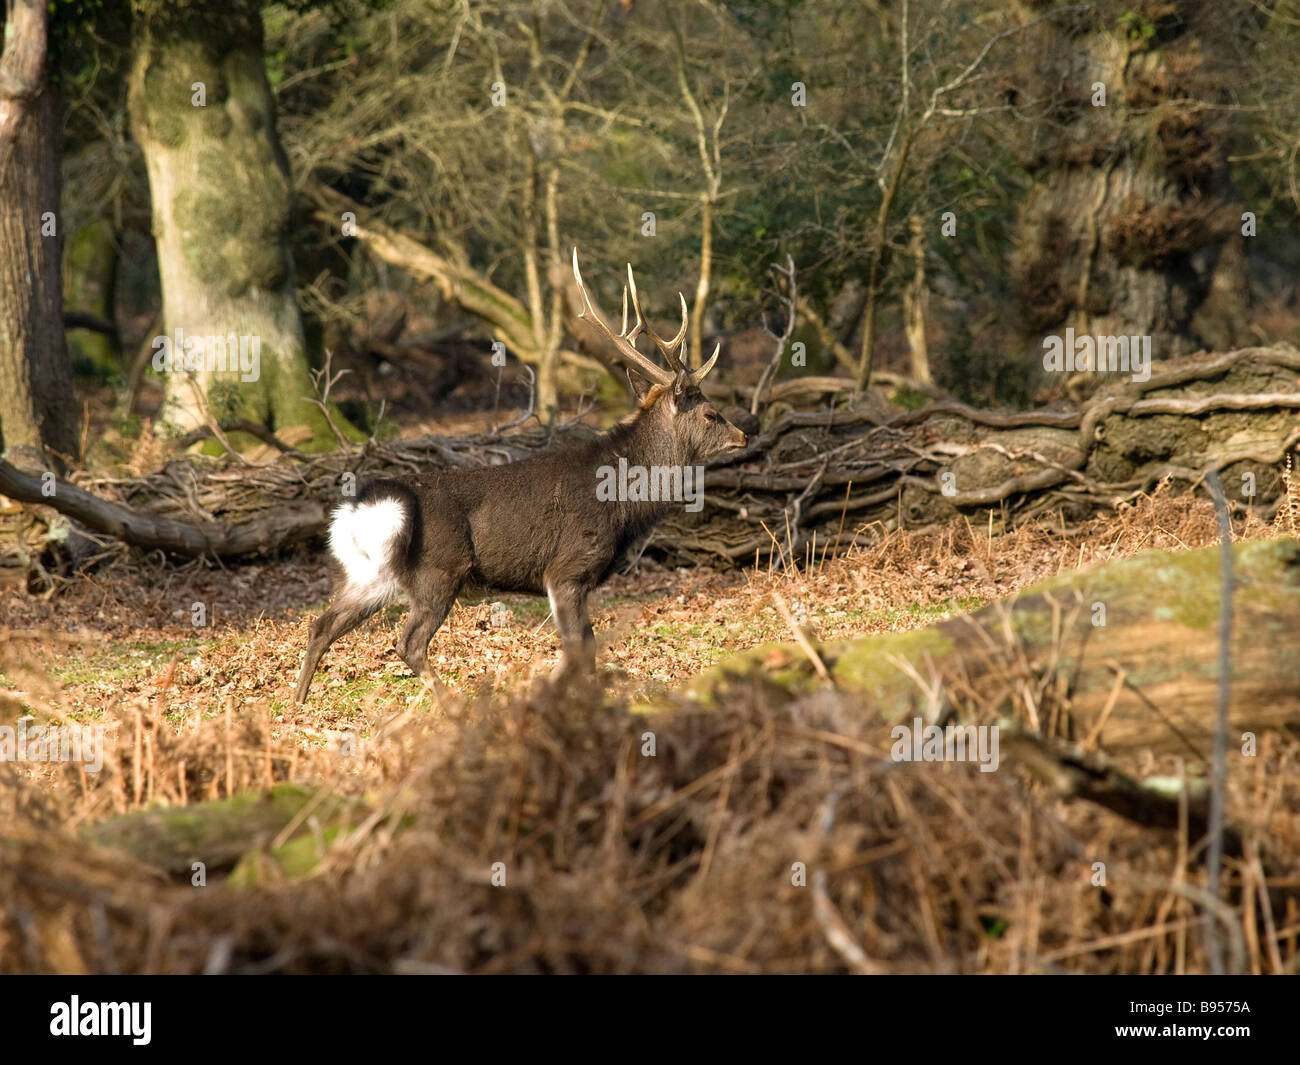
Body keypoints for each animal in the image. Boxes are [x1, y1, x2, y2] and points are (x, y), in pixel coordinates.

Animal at [293, 250, 749, 705]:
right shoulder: (567, 569)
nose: (743, 435)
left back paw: (297, 704)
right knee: (408, 641)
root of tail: (363, 506)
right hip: (439, 569)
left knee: (322, 624)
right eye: (711, 414)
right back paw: (449, 703)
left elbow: (584, 649)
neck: (623, 506)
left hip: (372, 574)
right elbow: (580, 648)